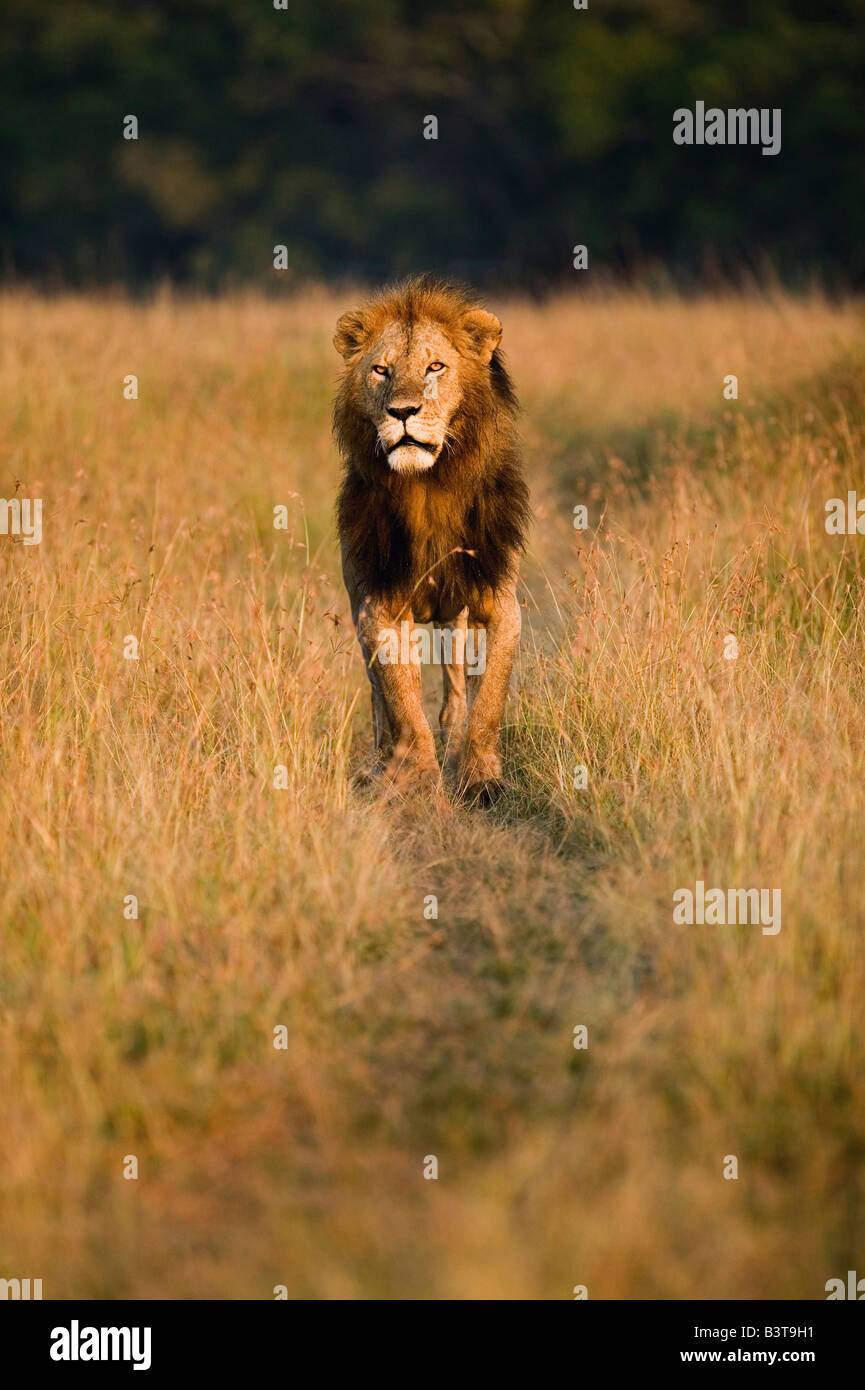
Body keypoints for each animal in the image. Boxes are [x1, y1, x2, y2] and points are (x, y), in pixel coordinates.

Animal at [333, 274, 530, 804]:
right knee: (384, 701)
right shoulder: (378, 609)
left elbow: (489, 703)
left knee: (456, 696)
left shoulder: (499, 604)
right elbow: (403, 706)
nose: (402, 411)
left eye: (435, 366)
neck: (428, 487)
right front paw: (417, 783)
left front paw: (481, 778)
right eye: (380, 370)